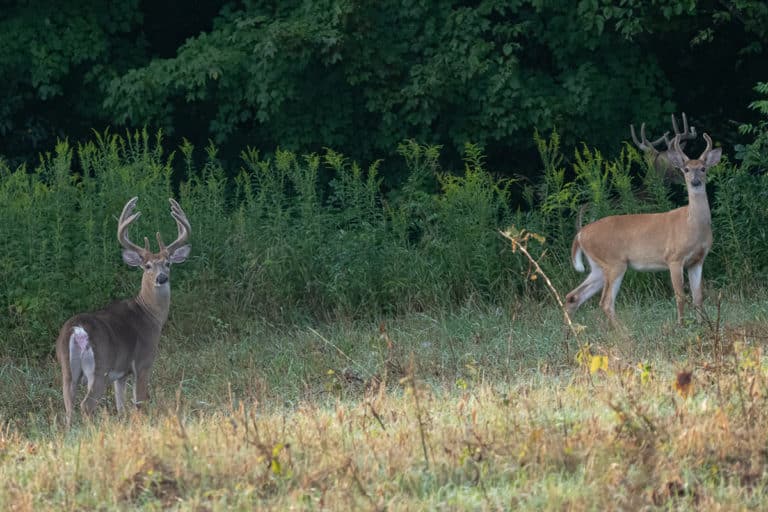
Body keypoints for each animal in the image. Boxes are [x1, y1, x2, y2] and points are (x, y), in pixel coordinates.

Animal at [55, 197, 191, 427]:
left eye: (168, 263)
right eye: (147, 266)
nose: (161, 278)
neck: (150, 315)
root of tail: (77, 330)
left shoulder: (120, 374)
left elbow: (121, 405)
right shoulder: (143, 361)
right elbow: (140, 401)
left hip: (67, 369)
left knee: (68, 407)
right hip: (99, 367)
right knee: (86, 405)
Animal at [565, 133, 722, 326]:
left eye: (703, 168)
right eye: (686, 169)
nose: (695, 181)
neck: (692, 224)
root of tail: (580, 234)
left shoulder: (697, 260)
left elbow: (698, 296)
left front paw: (702, 324)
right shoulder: (674, 258)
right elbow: (680, 296)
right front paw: (681, 325)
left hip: (598, 267)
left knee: (573, 296)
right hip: (614, 262)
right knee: (606, 302)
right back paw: (622, 330)